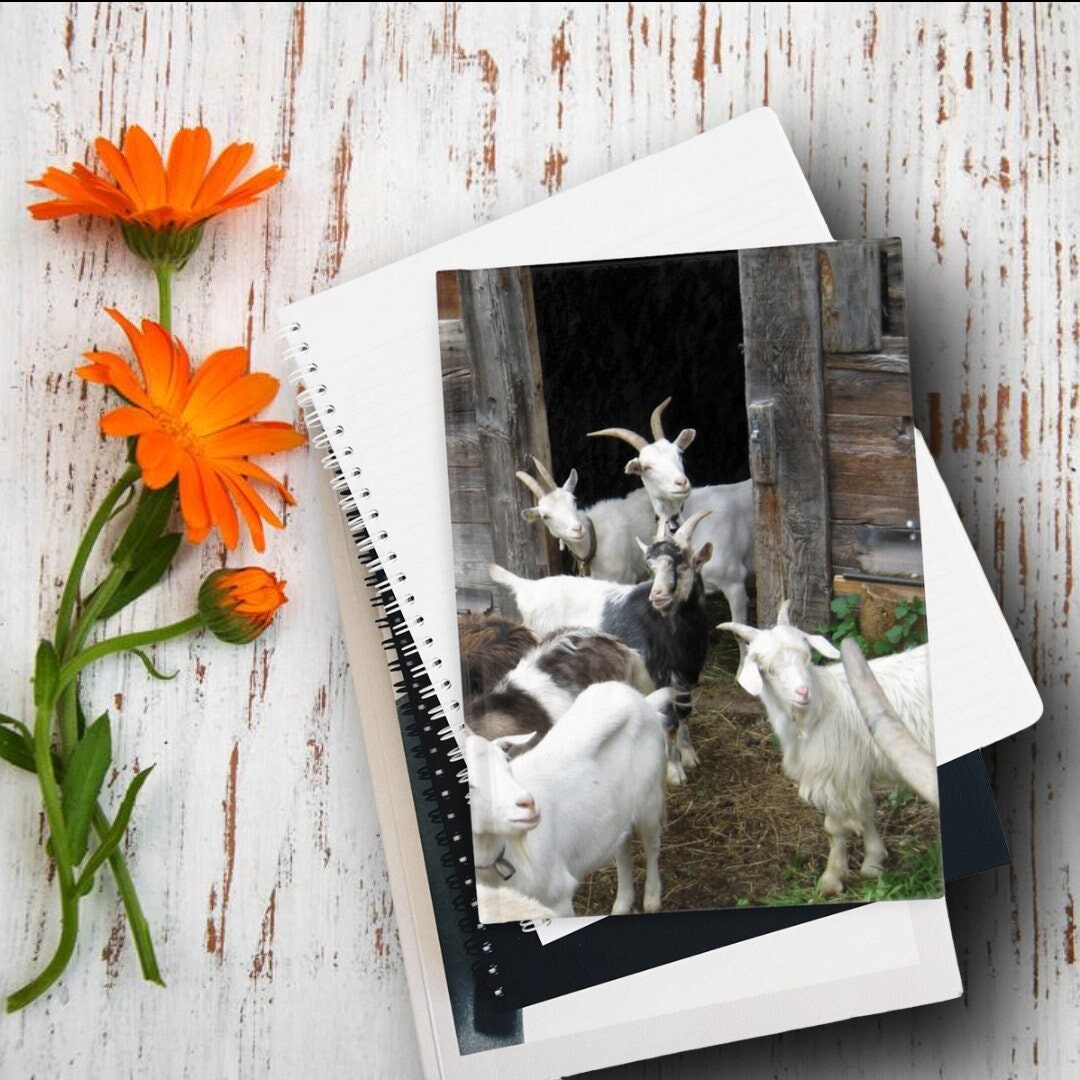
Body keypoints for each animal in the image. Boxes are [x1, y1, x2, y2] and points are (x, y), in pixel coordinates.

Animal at [465, 682, 671, 920]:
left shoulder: (558, 898)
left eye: (506, 761)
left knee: (652, 845)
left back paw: (652, 898)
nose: (528, 803)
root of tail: (643, 702)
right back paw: (622, 902)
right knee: (622, 846)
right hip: (619, 812)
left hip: (649, 798)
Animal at [489, 511, 713, 781]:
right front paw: (675, 769)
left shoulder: (688, 673)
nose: (657, 595)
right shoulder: (660, 675)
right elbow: (669, 720)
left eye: (683, 565)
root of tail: (527, 586)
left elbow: (685, 711)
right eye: (651, 567)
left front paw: (689, 753)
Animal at [718, 601, 934, 896]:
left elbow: (835, 828)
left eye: (807, 656)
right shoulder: (853, 770)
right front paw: (873, 863)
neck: (819, 710)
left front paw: (831, 879)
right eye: (766, 668)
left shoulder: (837, 772)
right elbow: (866, 810)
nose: (802, 692)